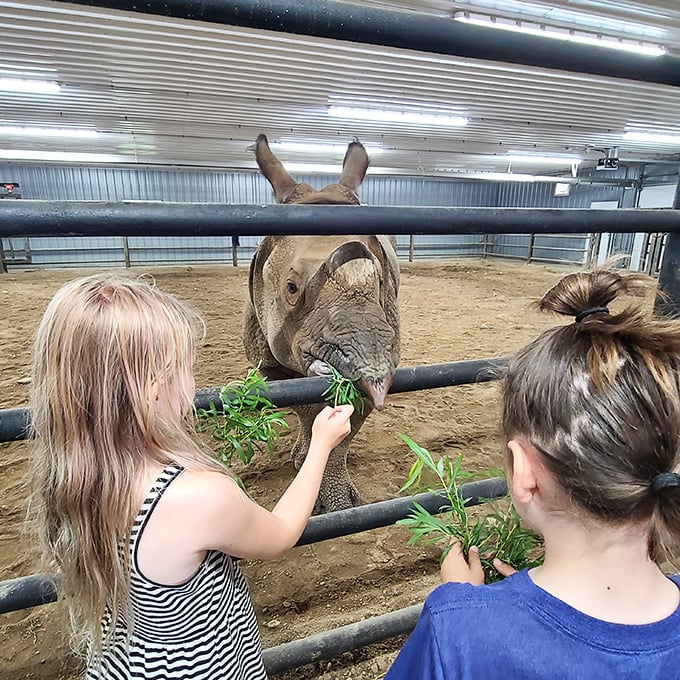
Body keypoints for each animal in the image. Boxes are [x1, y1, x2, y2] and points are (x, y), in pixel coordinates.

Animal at [243, 134, 400, 512]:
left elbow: (350, 419)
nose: (374, 373)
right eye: (291, 288)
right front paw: (303, 461)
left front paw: (339, 503)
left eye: (383, 283)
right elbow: (303, 406)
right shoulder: (267, 357)